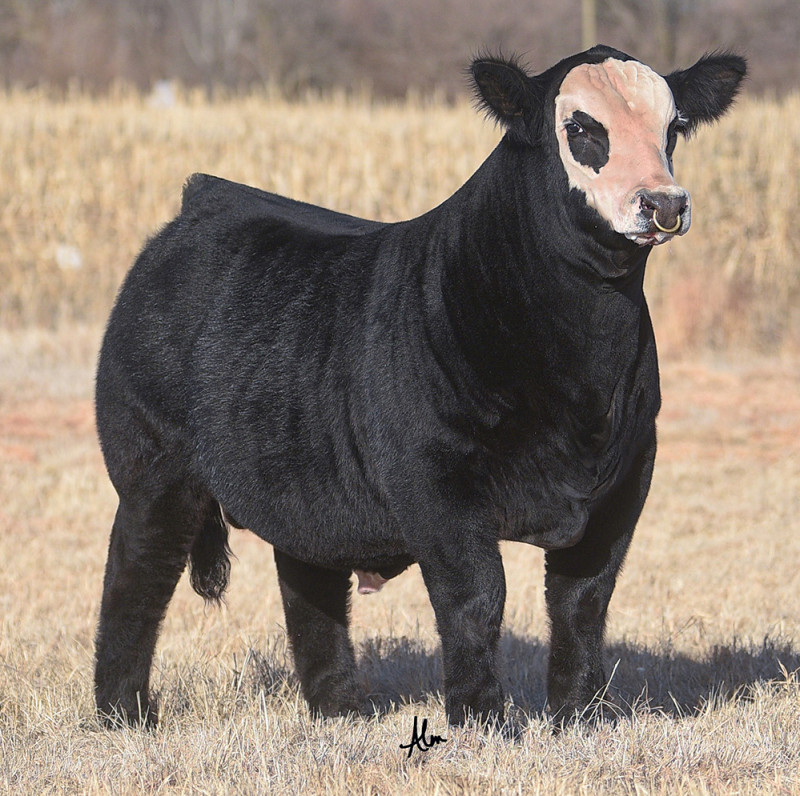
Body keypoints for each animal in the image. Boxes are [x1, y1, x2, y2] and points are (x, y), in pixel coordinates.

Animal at [94, 45, 746, 729]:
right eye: (581, 127)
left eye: (674, 128)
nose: (663, 203)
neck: (581, 381)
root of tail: (206, 198)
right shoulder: (433, 480)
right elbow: (477, 597)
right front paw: (481, 719)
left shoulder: (626, 477)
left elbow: (583, 600)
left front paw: (582, 714)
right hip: (154, 468)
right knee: (136, 574)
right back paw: (125, 713)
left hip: (300, 480)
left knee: (309, 584)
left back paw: (341, 709)